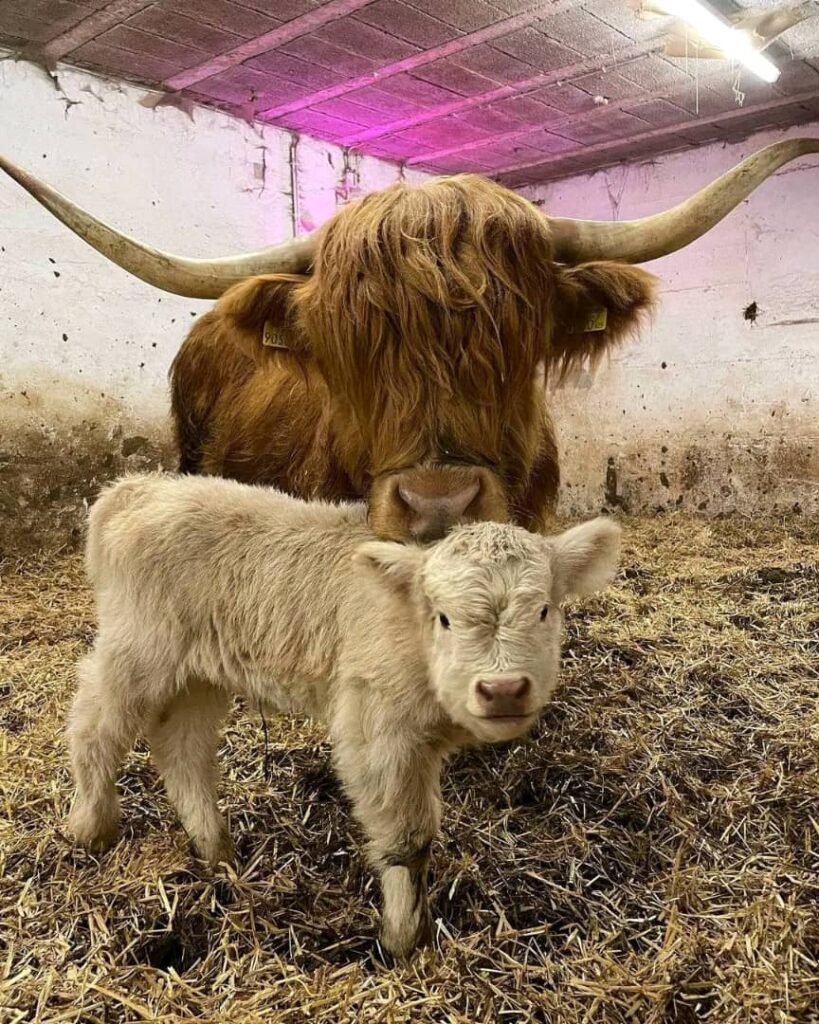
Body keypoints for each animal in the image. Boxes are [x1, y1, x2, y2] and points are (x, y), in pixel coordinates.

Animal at [68, 471, 622, 957]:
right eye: (443, 618)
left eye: (544, 611)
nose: (502, 689)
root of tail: (139, 486)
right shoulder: (375, 730)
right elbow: (407, 840)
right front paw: (403, 942)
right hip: (137, 648)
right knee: (93, 724)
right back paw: (90, 827)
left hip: (198, 674)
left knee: (183, 750)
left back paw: (216, 852)